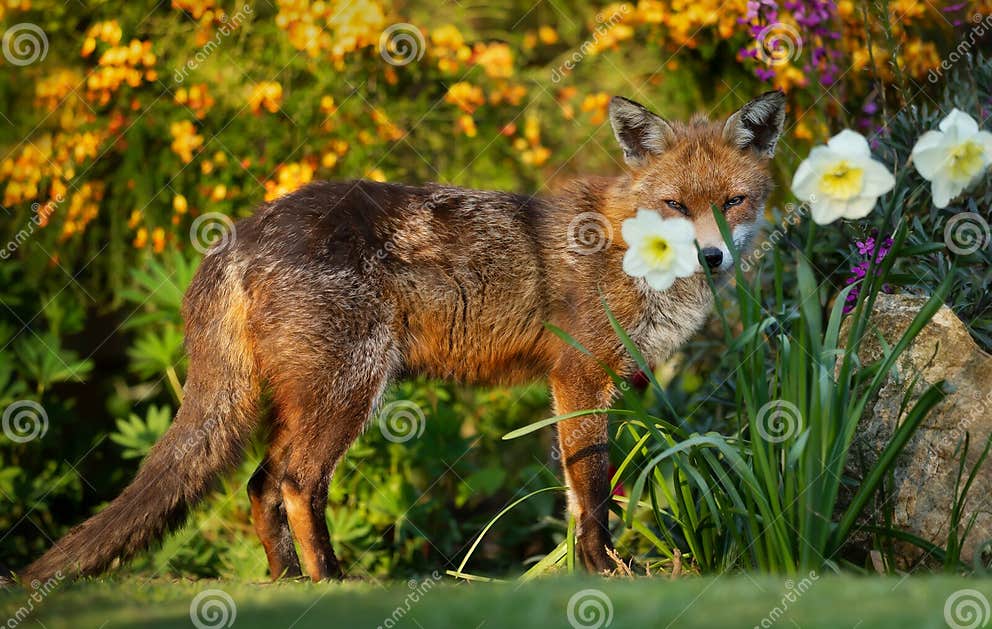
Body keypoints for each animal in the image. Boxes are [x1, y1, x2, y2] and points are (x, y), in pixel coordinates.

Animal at [22, 90, 786, 582]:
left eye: (733, 202)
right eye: (674, 205)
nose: (712, 258)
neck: (629, 249)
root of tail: (241, 231)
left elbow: (578, 493)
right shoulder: (577, 374)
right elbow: (592, 490)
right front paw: (604, 570)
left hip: (306, 396)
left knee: (261, 484)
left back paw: (283, 584)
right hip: (350, 388)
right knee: (297, 481)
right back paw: (331, 581)